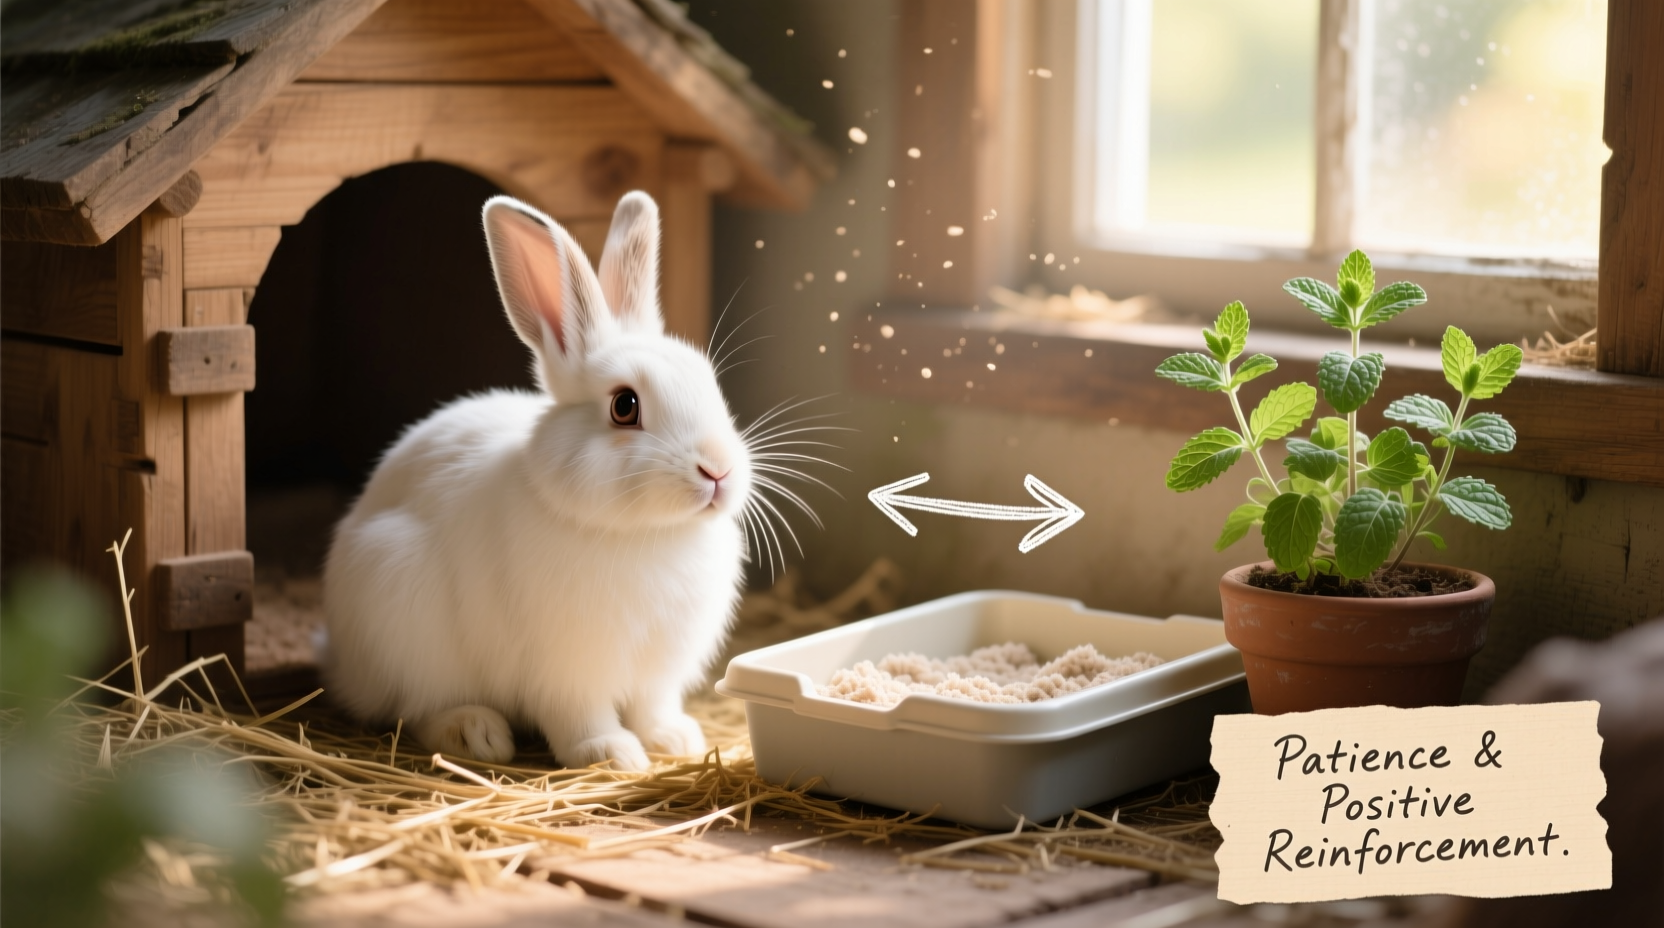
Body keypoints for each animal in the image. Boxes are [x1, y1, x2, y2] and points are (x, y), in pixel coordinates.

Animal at [321, 191, 754, 771]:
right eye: (624, 406)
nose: (718, 469)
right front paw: (612, 754)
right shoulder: (568, 668)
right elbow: (580, 716)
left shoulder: (657, 671)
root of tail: (339, 663)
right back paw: (476, 733)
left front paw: (674, 740)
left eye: (709, 383)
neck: (648, 534)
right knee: (414, 708)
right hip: (401, 608)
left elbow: (652, 706)